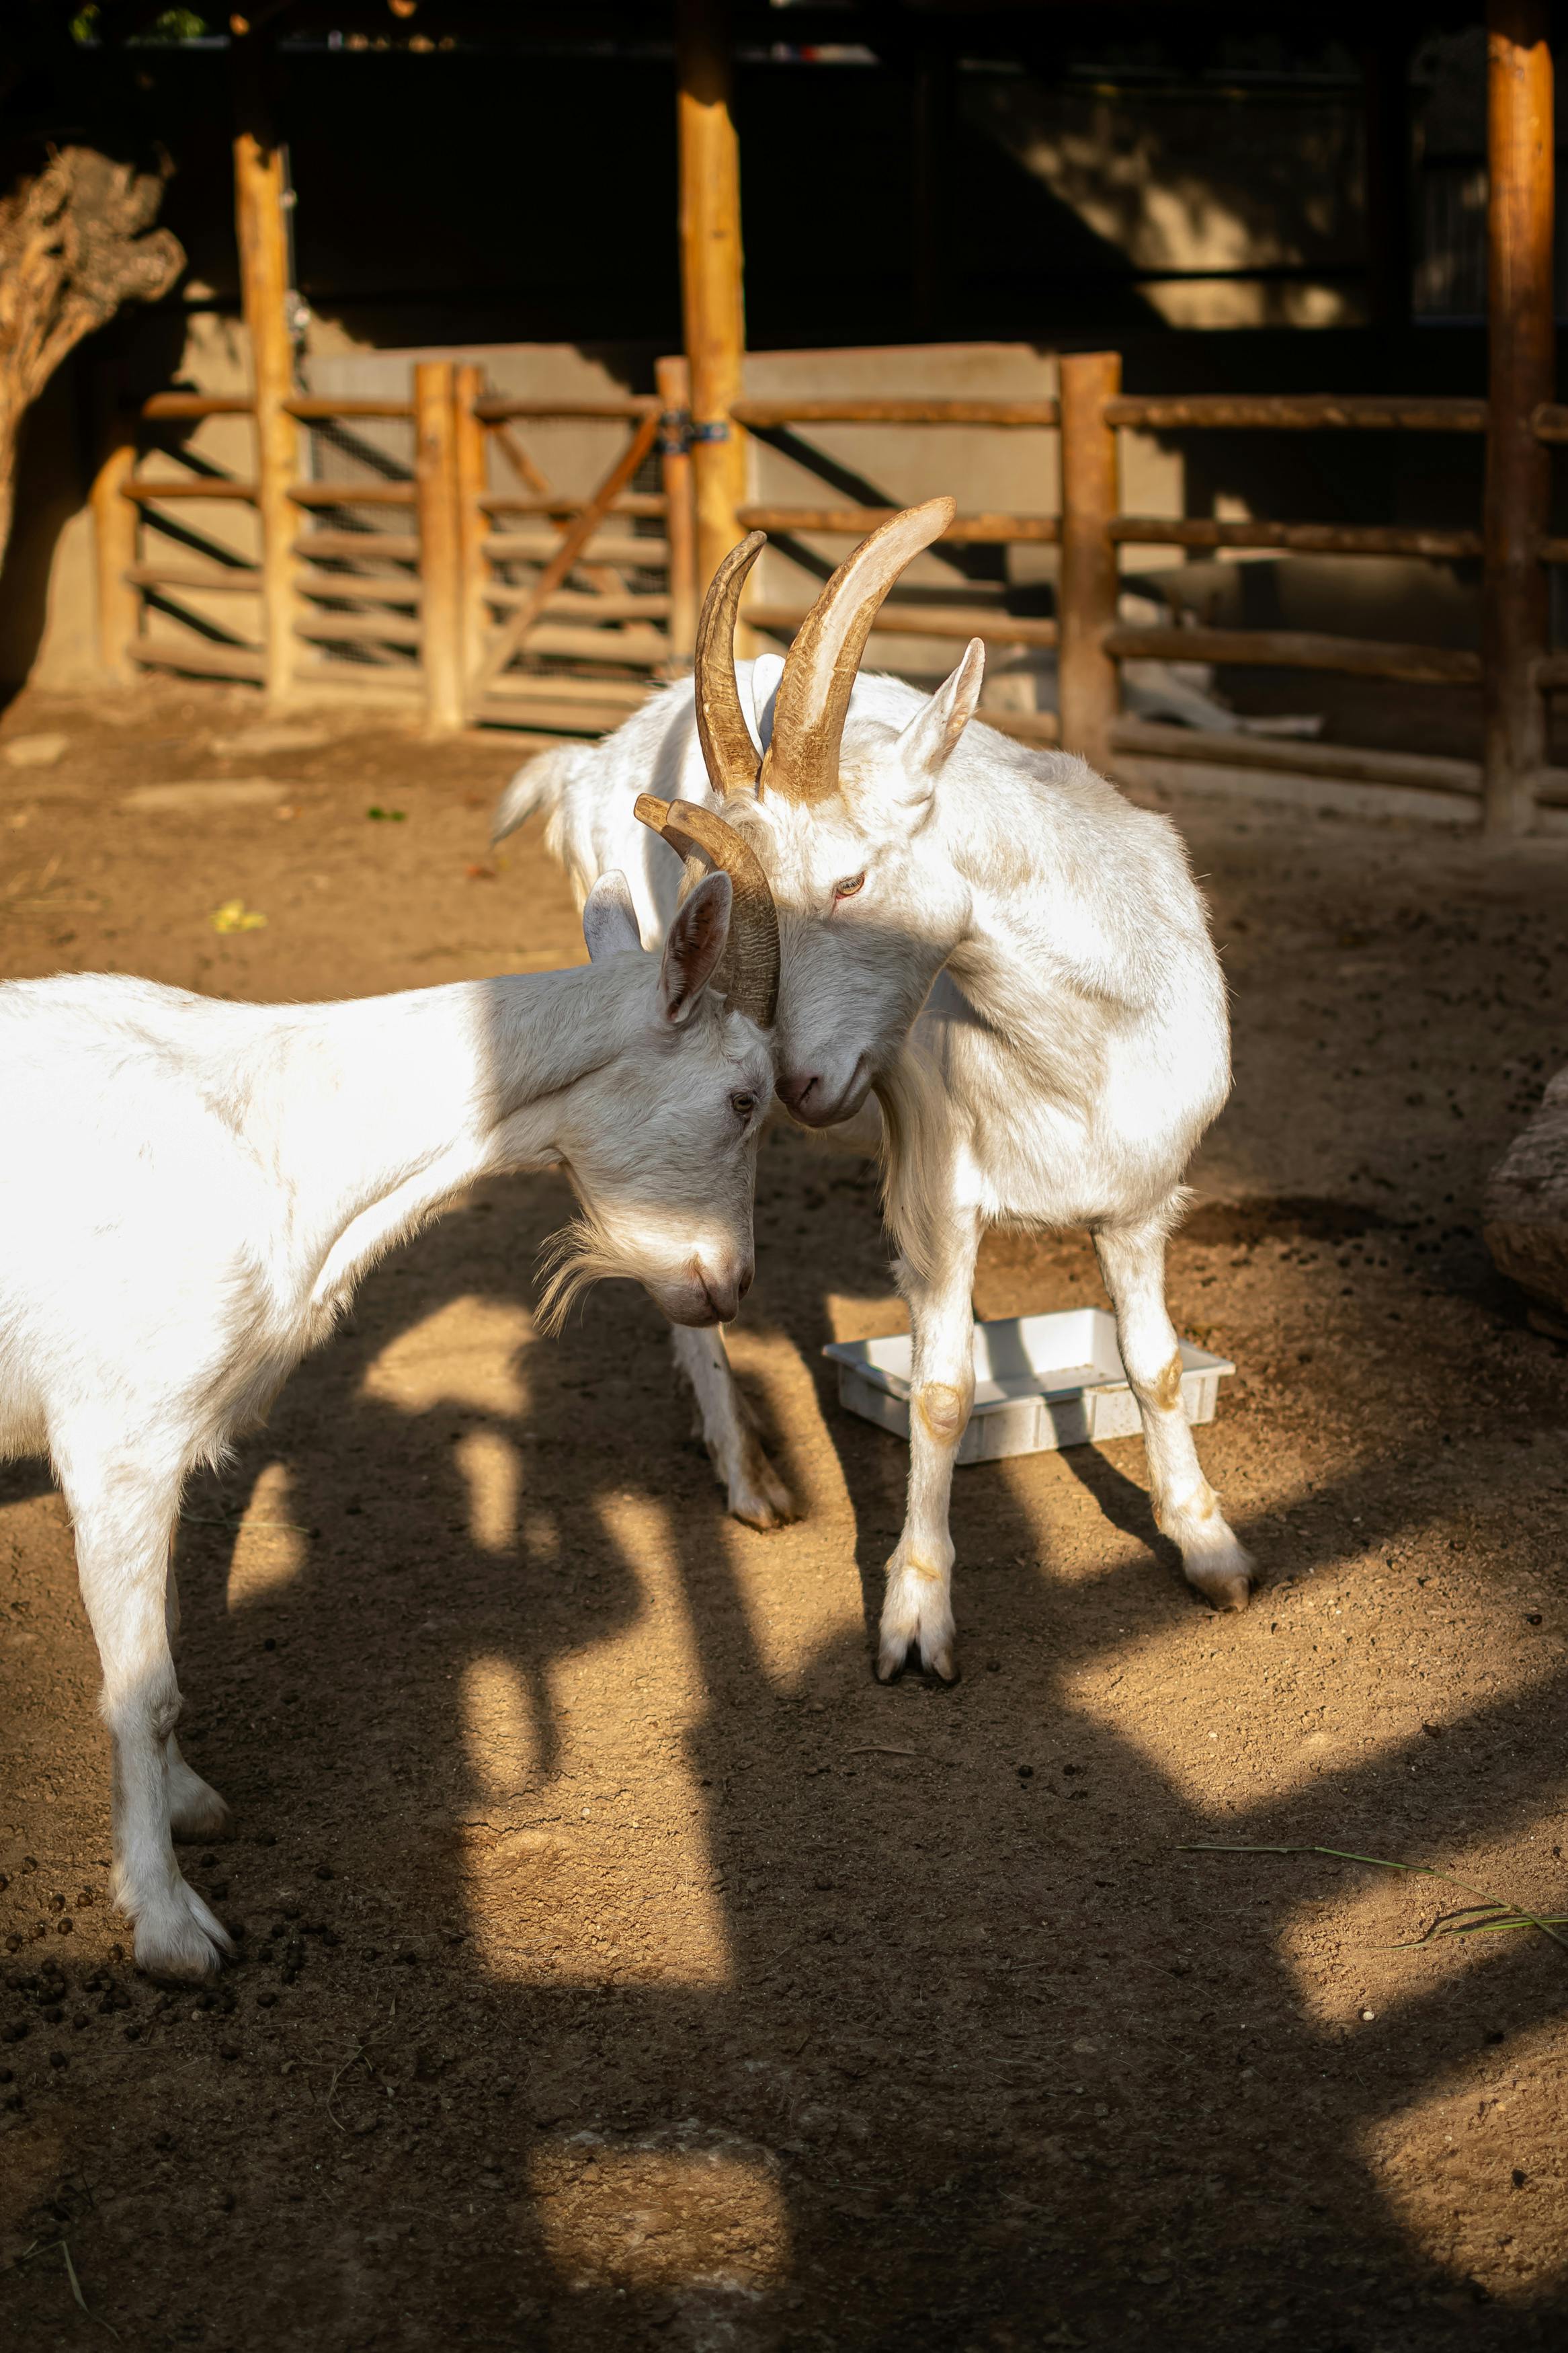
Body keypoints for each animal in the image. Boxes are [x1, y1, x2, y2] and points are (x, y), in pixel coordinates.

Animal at [0, 809, 778, 1980]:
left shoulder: (165, 1445)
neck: (277, 1137)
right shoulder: (115, 1435)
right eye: (744, 1098)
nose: (728, 1286)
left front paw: (186, 1804)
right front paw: (172, 1926)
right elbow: (146, 1686)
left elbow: (163, 1641)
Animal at [494, 501, 1255, 1682]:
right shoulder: (936, 1200)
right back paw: (751, 1478)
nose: (798, 1080)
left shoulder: (1138, 1196)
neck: (1076, 1046)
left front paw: (1210, 1548)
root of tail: (592, 763)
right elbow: (939, 1395)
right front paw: (914, 1619)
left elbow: (1158, 1364)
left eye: (851, 880)